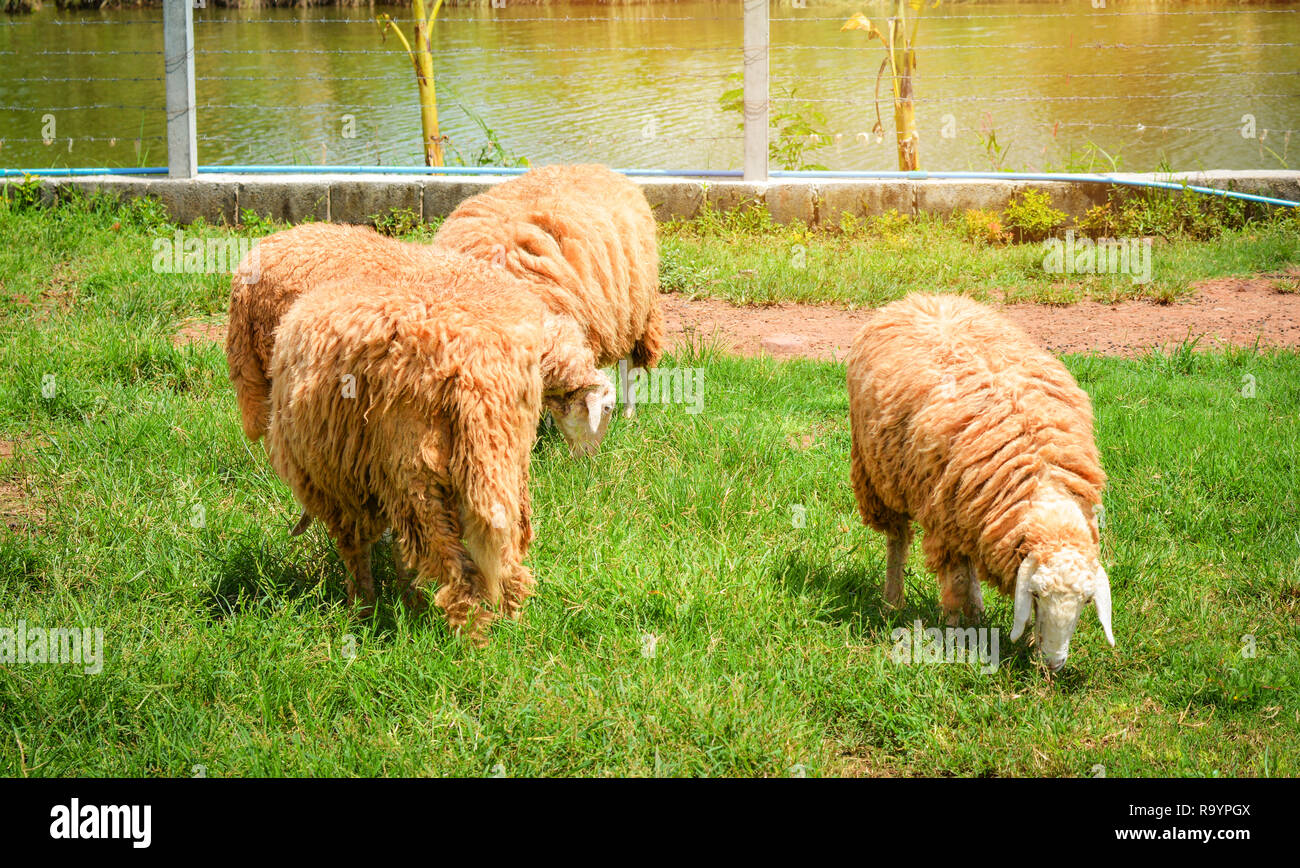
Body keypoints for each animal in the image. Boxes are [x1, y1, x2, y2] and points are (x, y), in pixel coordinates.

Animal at [264, 254, 614, 638]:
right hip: (500, 464)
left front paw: (367, 608)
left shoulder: (348, 485)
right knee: (506, 553)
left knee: (447, 562)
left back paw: (464, 631)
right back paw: (510, 622)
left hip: (415, 470)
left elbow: (363, 550)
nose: (589, 461)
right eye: (607, 410)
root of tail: (470, 374)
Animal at [847, 293, 1114, 670]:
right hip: (879, 476)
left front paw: (1022, 640)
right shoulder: (943, 522)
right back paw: (893, 602)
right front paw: (954, 633)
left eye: (1085, 602)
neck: (1042, 477)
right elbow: (956, 581)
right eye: (1037, 593)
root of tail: (922, 298)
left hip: (965, 511)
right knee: (897, 540)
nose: (1053, 664)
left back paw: (975, 611)